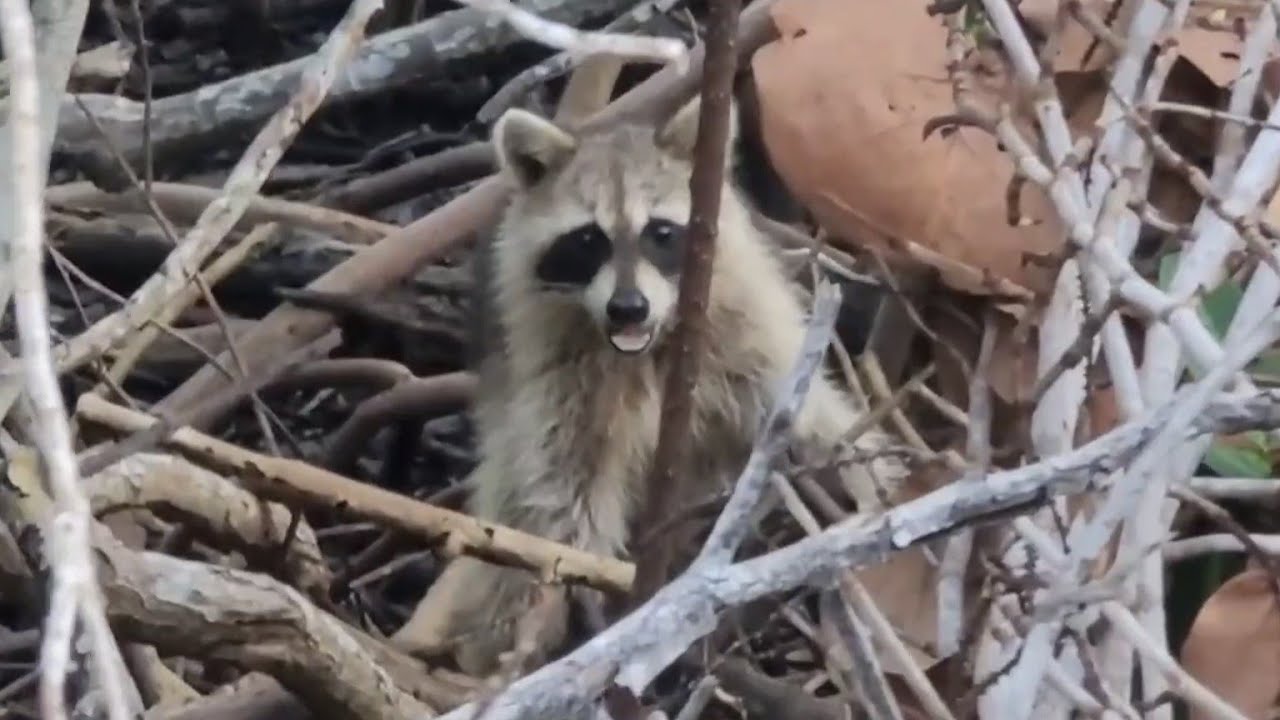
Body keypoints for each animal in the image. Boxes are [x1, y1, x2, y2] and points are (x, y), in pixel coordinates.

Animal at [391, 97, 903, 676]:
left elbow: (818, 422)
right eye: (587, 240)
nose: (628, 307)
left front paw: (866, 479)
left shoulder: (748, 337)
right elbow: (561, 504)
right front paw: (550, 609)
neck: (648, 344)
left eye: (661, 233)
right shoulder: (556, 378)